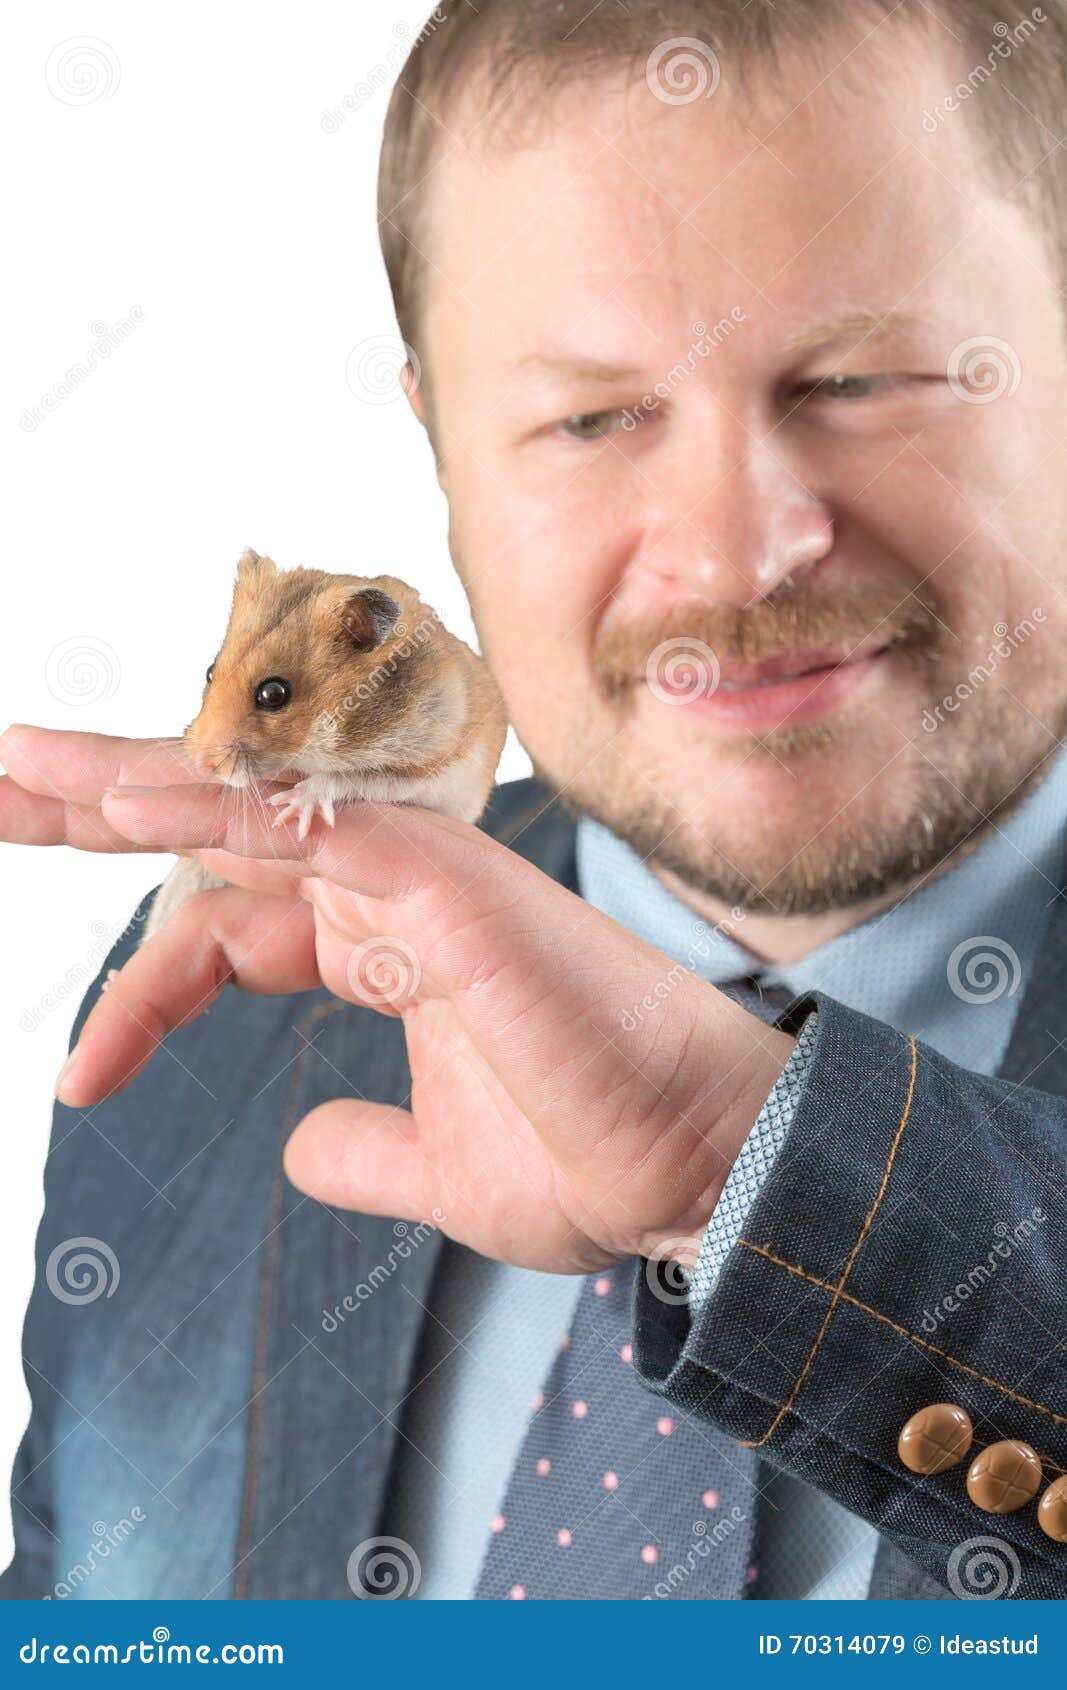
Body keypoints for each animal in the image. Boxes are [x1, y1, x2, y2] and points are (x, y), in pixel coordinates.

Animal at [141, 548, 508, 943]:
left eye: (273, 694)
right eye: (210, 671)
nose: (201, 763)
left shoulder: (428, 766)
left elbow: (347, 779)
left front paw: (294, 806)